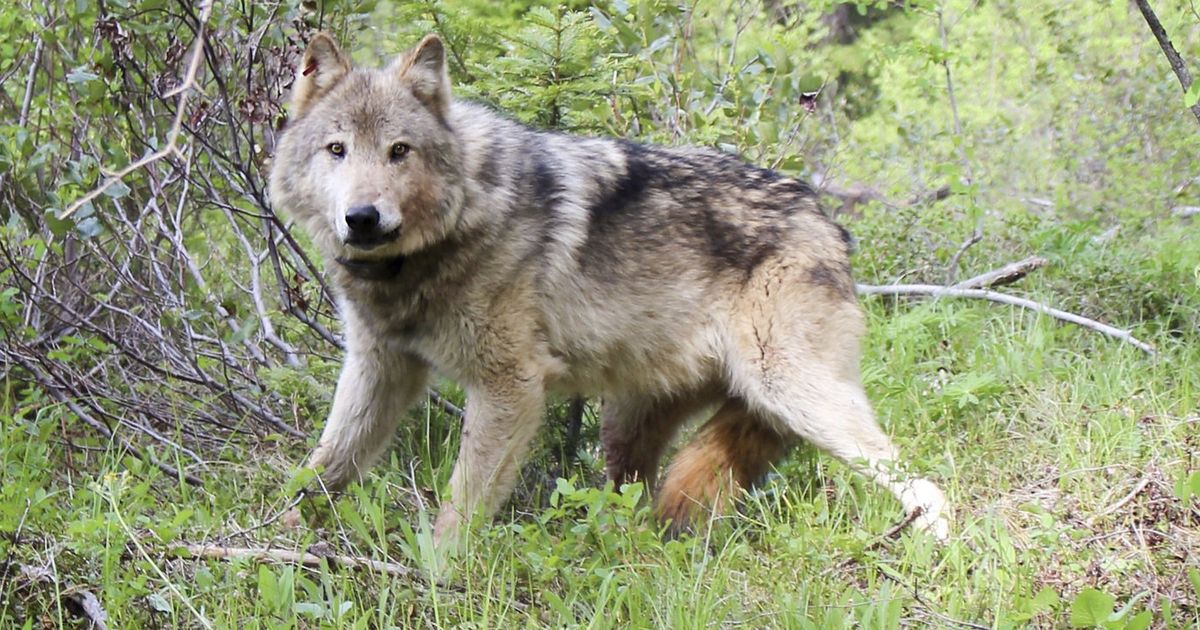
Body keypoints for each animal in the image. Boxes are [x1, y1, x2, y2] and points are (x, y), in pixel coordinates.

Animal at [268, 33, 949, 544]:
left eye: (399, 151)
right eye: (337, 149)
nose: (363, 217)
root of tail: (827, 221)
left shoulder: (510, 388)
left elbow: (460, 512)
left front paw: (439, 579)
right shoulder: (379, 370)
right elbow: (320, 468)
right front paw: (272, 538)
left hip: (793, 394)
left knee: (922, 482)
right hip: (630, 428)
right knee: (636, 505)